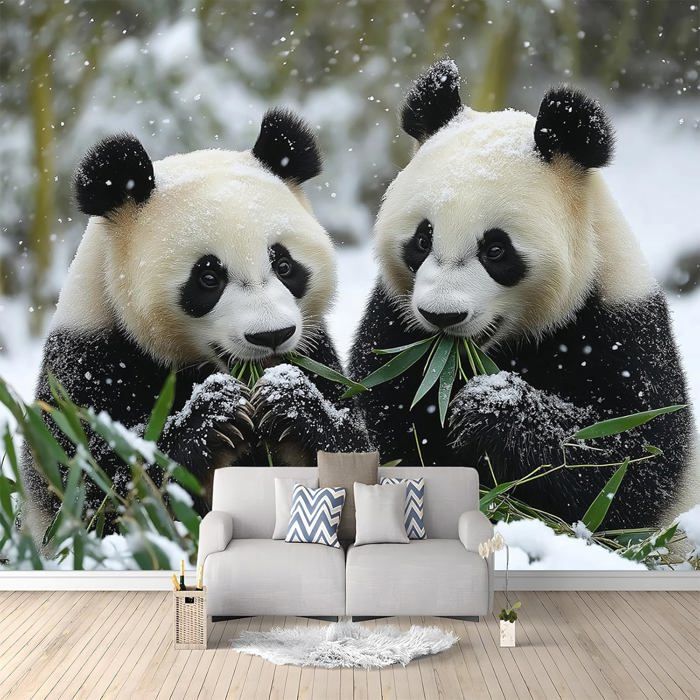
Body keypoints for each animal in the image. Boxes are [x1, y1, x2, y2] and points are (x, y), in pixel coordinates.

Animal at [22, 108, 369, 543]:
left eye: (284, 265)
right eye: (208, 277)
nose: (271, 336)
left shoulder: (315, 351)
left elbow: (354, 448)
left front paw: (288, 401)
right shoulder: (88, 362)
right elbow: (91, 491)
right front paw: (216, 414)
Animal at [349, 60, 697, 530]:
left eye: (496, 250)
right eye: (423, 240)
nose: (442, 316)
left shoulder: (625, 329)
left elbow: (632, 465)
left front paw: (492, 407)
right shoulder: (394, 324)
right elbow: (378, 425)